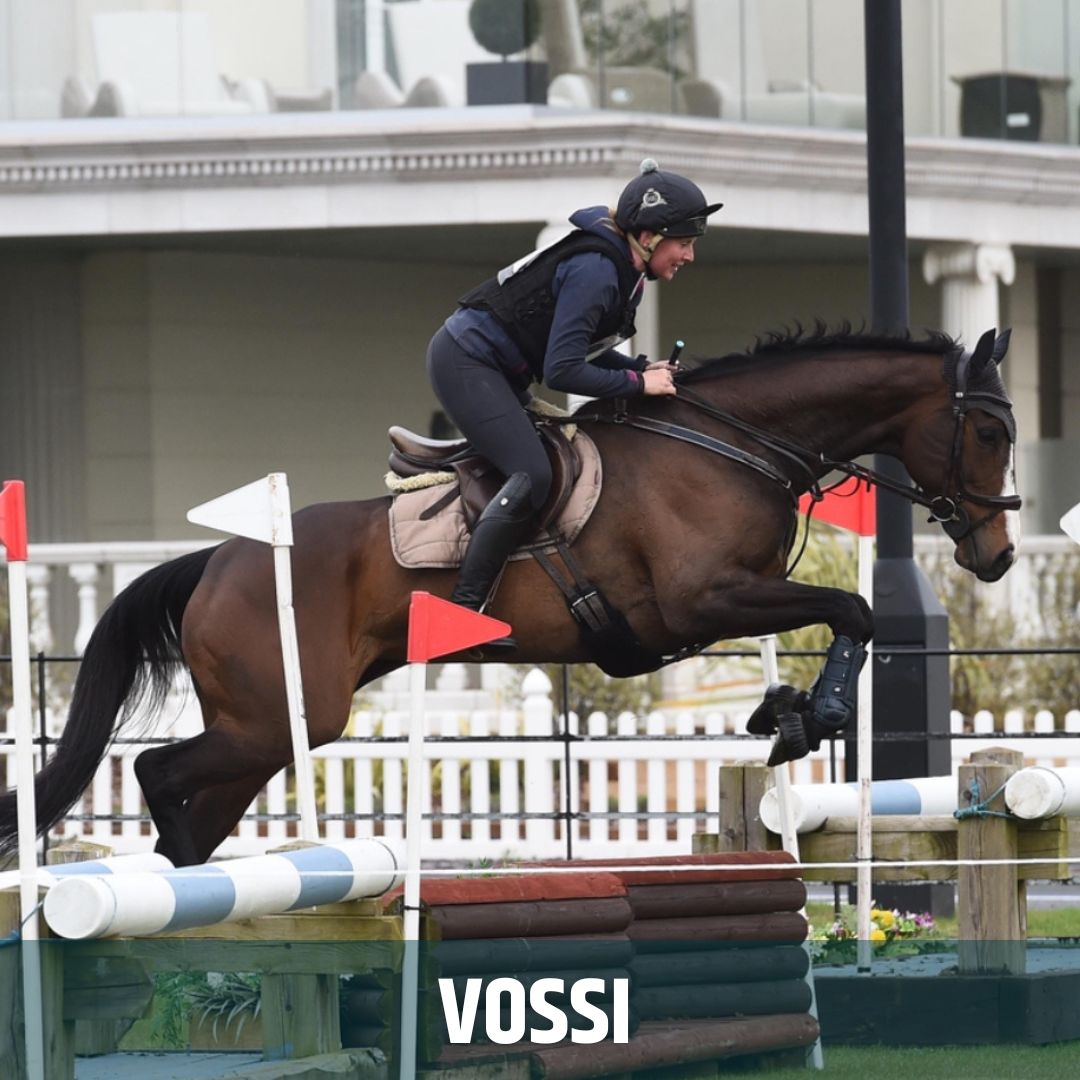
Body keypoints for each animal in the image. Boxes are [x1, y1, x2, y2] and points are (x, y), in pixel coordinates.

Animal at [0, 324, 1020, 866]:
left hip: (270, 726)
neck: (731, 442)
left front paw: (788, 713)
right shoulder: (705, 601)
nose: (1001, 554)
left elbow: (839, 619)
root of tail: (215, 561)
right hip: (279, 716)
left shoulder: (735, 600)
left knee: (189, 805)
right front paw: (818, 717)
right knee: (159, 772)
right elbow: (855, 609)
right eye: (990, 433)